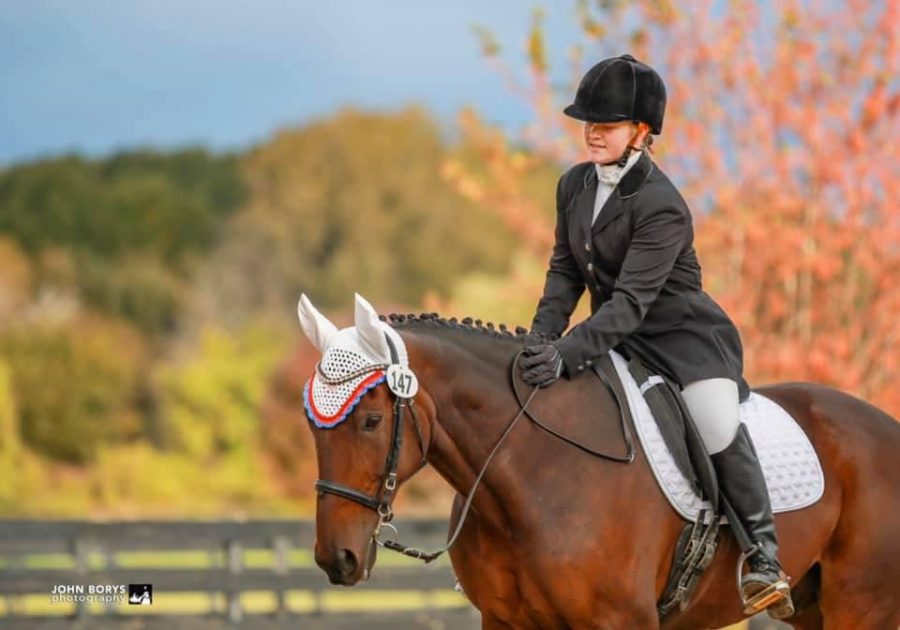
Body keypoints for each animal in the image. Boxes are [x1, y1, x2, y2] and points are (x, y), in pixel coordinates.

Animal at [299, 296, 900, 629]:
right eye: (311, 426)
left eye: (371, 421)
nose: (337, 559)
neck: (532, 477)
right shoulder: (505, 622)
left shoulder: (619, 621)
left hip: (860, 607)